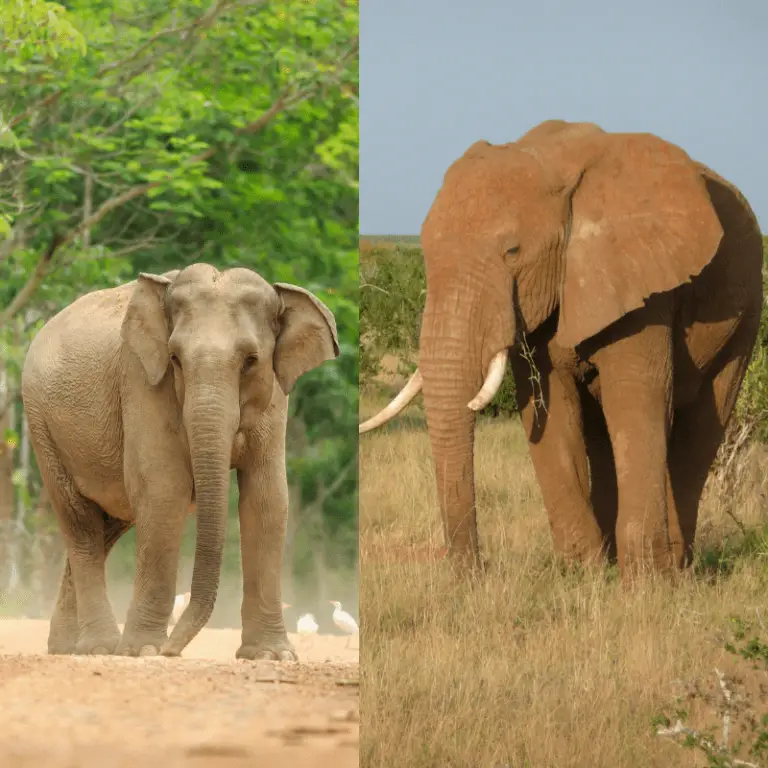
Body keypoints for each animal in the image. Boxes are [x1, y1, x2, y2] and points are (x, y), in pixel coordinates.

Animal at [21, 263, 339, 658]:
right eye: (175, 359)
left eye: (251, 361)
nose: (173, 650)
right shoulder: (141, 381)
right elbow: (163, 489)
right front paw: (143, 651)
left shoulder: (275, 396)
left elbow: (266, 499)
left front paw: (270, 655)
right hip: (41, 424)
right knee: (81, 522)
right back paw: (100, 647)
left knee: (107, 524)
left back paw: (67, 647)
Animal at [360, 119, 763, 583]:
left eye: (513, 251)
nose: (476, 571)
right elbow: (547, 410)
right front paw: (582, 575)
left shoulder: (644, 284)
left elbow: (636, 402)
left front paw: (646, 586)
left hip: (746, 313)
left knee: (702, 423)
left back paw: (677, 570)